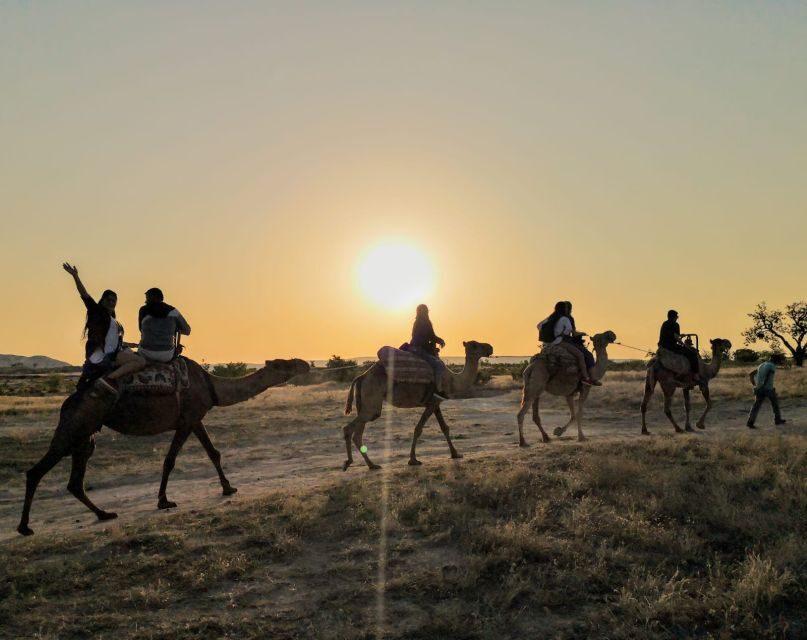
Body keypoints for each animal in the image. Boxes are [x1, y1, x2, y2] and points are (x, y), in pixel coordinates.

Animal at [17, 357, 310, 536]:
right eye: (285, 363)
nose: (305, 363)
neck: (211, 385)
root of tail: (68, 402)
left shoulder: (194, 418)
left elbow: (213, 453)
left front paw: (228, 488)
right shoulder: (188, 419)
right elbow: (170, 459)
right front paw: (164, 500)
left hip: (85, 436)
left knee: (75, 481)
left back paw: (104, 514)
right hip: (77, 425)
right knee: (36, 471)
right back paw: (24, 527)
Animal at [341, 340, 494, 470]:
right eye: (475, 345)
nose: (490, 347)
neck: (452, 380)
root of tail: (362, 377)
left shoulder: (435, 403)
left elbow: (444, 428)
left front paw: (455, 454)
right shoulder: (432, 403)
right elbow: (418, 429)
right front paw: (413, 460)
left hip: (365, 402)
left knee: (358, 432)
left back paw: (371, 465)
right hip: (372, 400)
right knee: (351, 427)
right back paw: (349, 462)